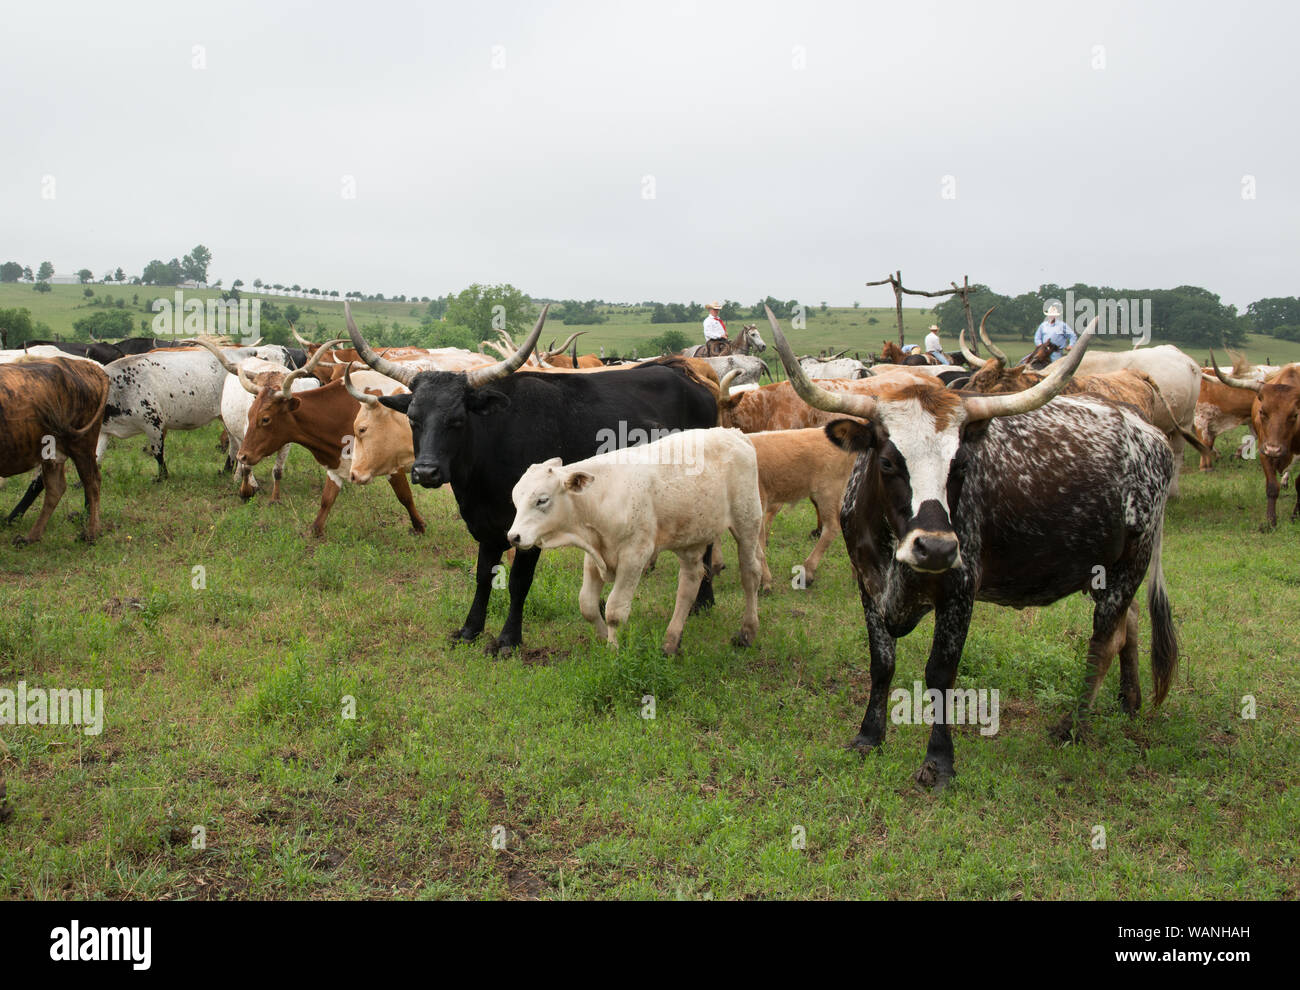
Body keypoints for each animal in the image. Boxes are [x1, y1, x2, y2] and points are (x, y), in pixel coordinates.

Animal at [0, 358, 109, 544]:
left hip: (82, 445)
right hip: (52, 453)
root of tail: (82, 364)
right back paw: (31, 537)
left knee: (92, 483)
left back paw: (92, 533)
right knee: (55, 488)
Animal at [345, 301, 721, 652]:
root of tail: (690, 380)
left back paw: (703, 602)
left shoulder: (529, 529)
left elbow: (518, 582)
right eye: (413, 418)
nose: (425, 471)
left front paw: (508, 639)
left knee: (705, 547)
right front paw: (470, 629)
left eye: (457, 419)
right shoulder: (487, 528)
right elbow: (483, 577)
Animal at [507, 429, 762, 655]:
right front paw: (603, 637)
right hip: (690, 538)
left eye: (542, 500)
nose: (513, 537)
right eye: (516, 500)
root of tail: (734, 433)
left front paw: (613, 651)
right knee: (689, 583)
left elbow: (615, 610)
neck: (602, 497)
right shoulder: (593, 557)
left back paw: (747, 632)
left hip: (747, 522)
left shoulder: (634, 555)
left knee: (750, 574)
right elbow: (587, 605)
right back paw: (670, 642)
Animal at [768, 308, 1177, 788]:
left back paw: (1072, 724)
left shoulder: (961, 590)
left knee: (1104, 639)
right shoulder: (867, 583)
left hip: (1133, 561)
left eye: (961, 463)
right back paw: (1128, 701)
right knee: (1127, 625)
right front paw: (869, 736)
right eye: (886, 461)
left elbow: (940, 672)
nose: (936, 548)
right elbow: (881, 663)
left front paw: (939, 761)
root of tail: (1150, 433)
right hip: (1104, 570)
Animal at [1211, 358, 1300, 529]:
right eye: (1262, 412)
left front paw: (1295, 516)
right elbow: (1272, 487)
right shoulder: (1263, 449)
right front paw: (1270, 521)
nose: (1274, 449)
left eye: (1295, 415)